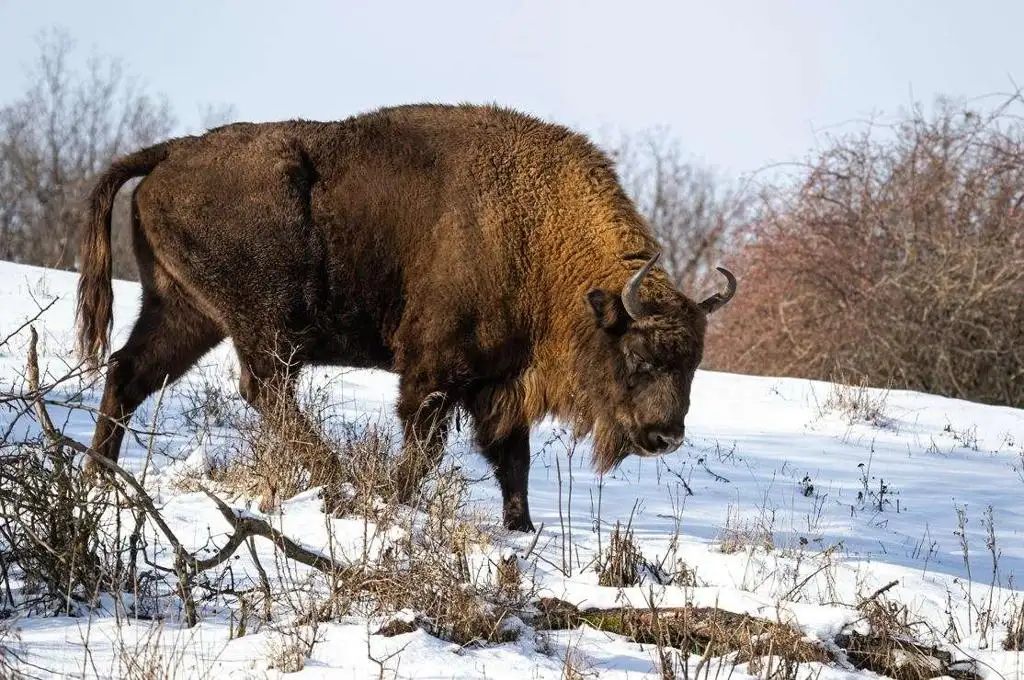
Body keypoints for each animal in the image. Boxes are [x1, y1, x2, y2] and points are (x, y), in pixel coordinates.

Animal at [75, 103, 735, 532]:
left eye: (694, 366)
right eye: (640, 355)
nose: (666, 436)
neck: (537, 238)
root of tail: (170, 152)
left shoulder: (499, 383)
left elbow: (512, 460)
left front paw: (521, 529)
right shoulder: (435, 372)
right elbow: (424, 446)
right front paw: (398, 505)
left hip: (184, 313)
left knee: (130, 372)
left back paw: (99, 477)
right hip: (263, 322)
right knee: (265, 388)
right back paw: (333, 473)